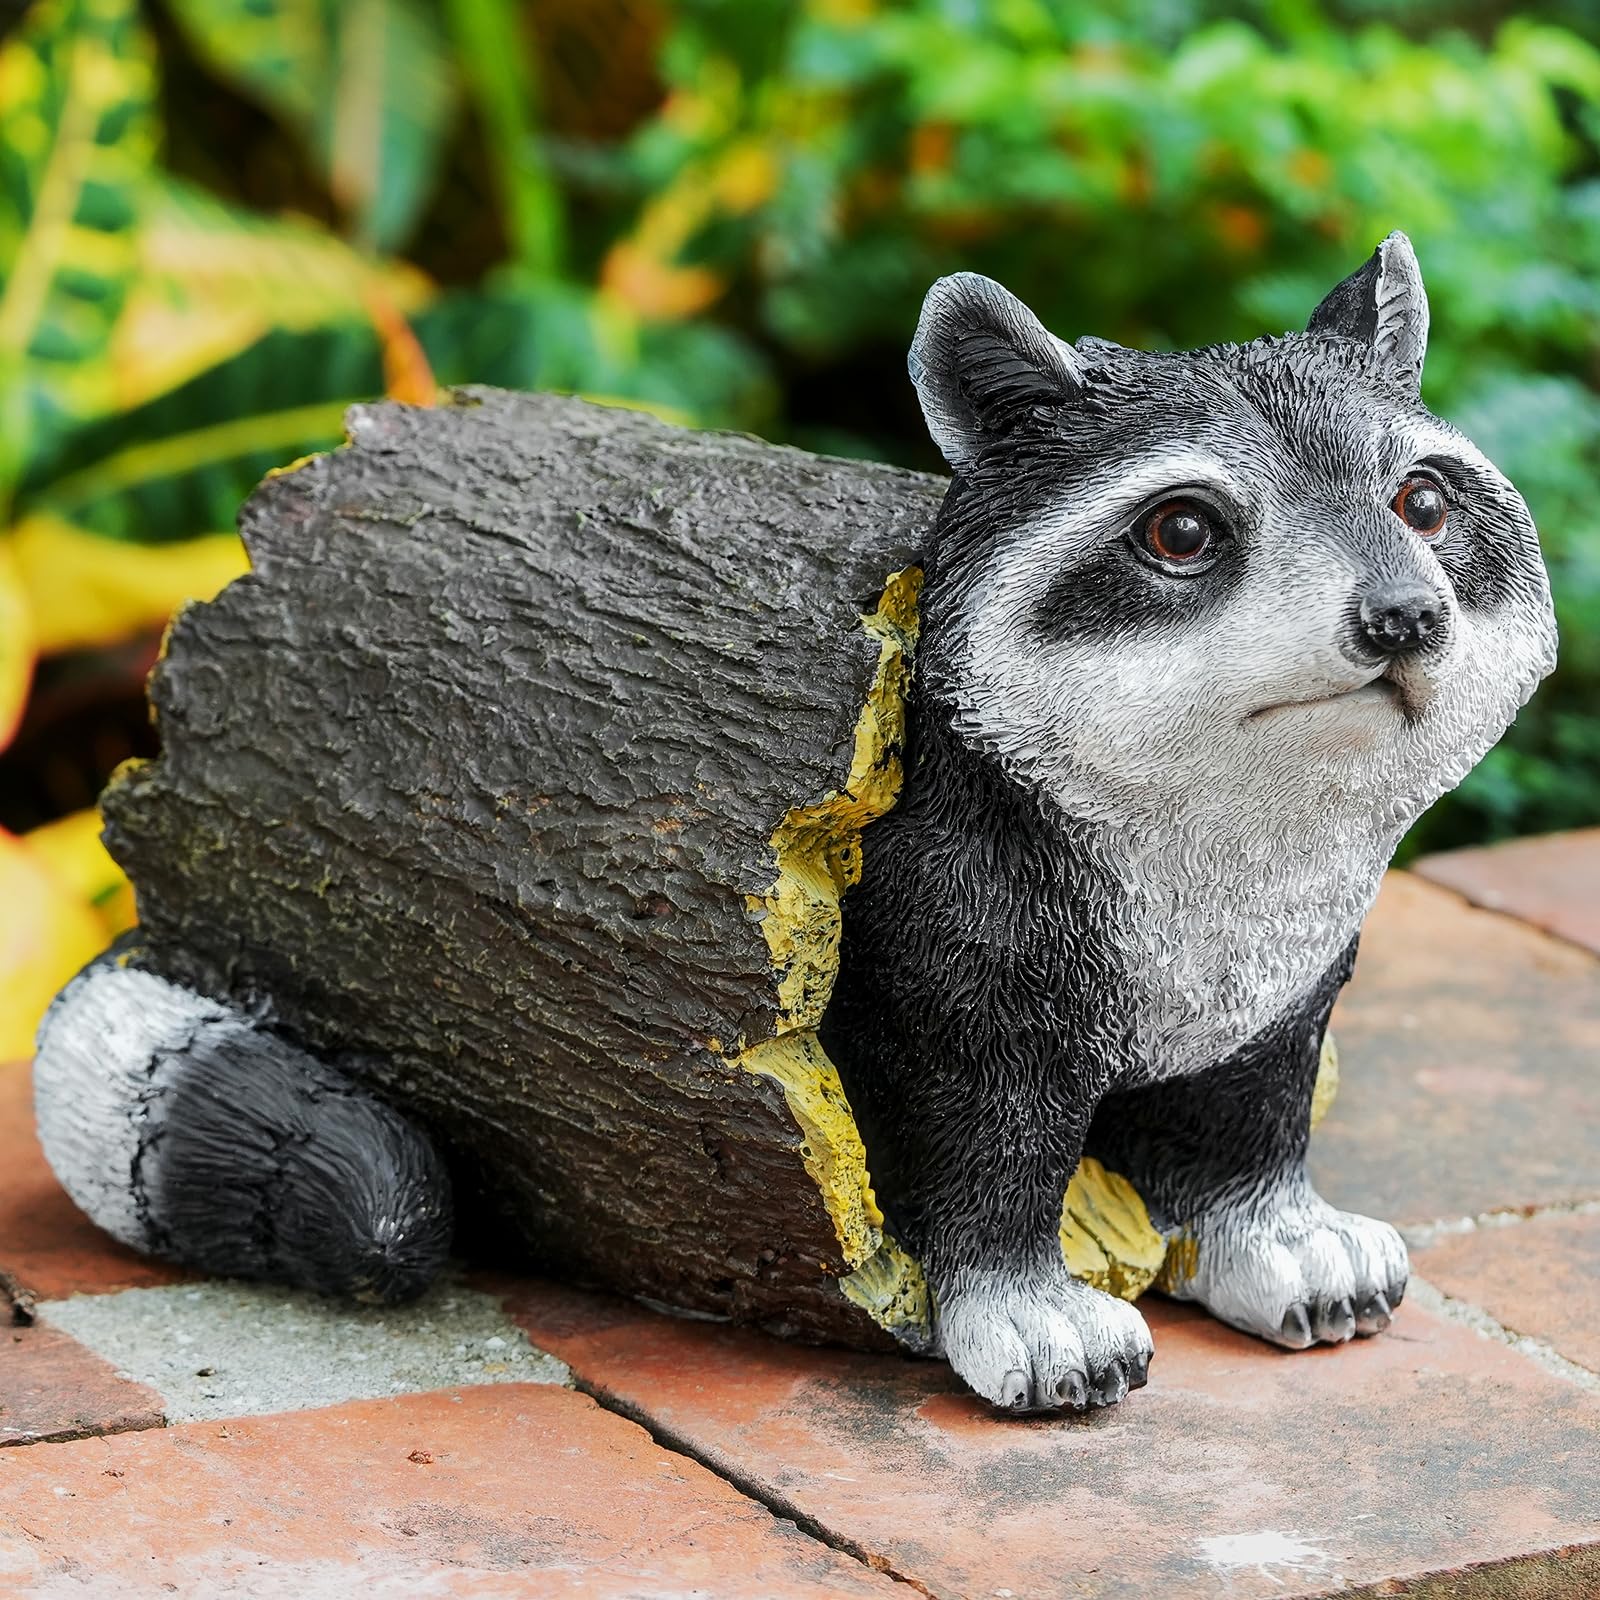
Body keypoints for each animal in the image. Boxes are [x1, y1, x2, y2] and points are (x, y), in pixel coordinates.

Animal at [820, 232, 1557, 1410]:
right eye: (1182, 529)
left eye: (1423, 503)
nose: (1404, 614)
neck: (1224, 836)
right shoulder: (944, 921)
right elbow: (976, 1131)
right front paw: (1024, 1305)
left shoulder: (1290, 970)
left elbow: (1247, 1102)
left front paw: (1279, 1234)